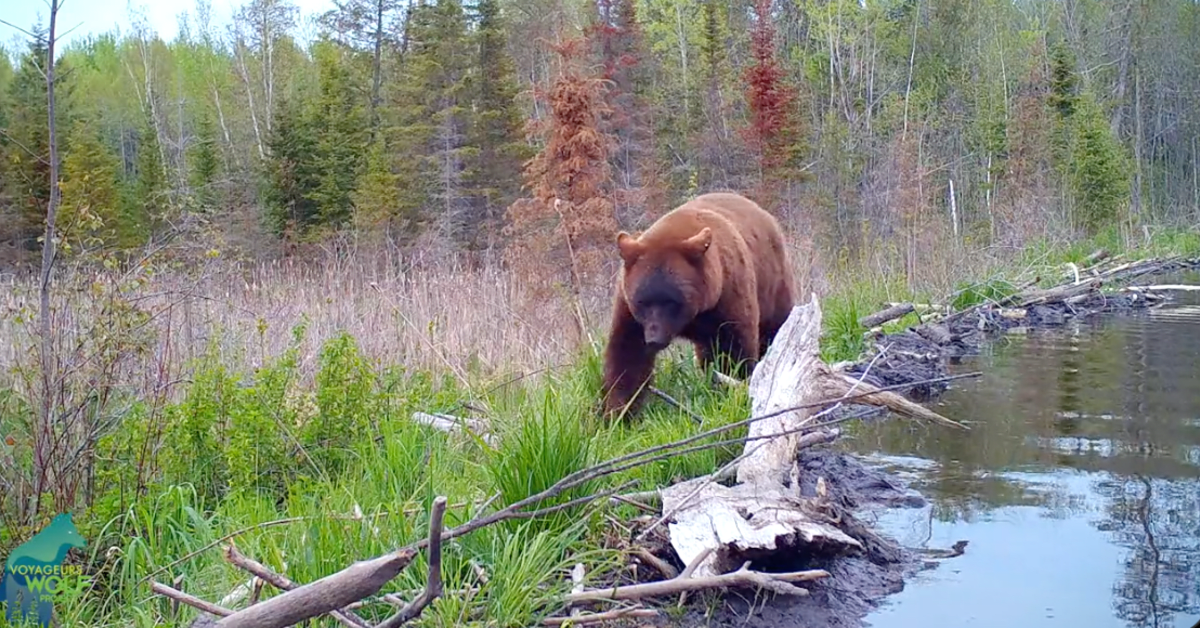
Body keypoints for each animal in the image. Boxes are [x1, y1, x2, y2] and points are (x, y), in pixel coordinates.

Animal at [600, 191, 796, 419]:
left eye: (671, 301)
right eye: (642, 302)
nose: (654, 339)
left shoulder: (727, 297)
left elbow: (733, 350)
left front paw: (732, 391)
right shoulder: (629, 309)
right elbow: (628, 354)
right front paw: (618, 414)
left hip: (773, 284)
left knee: (774, 327)